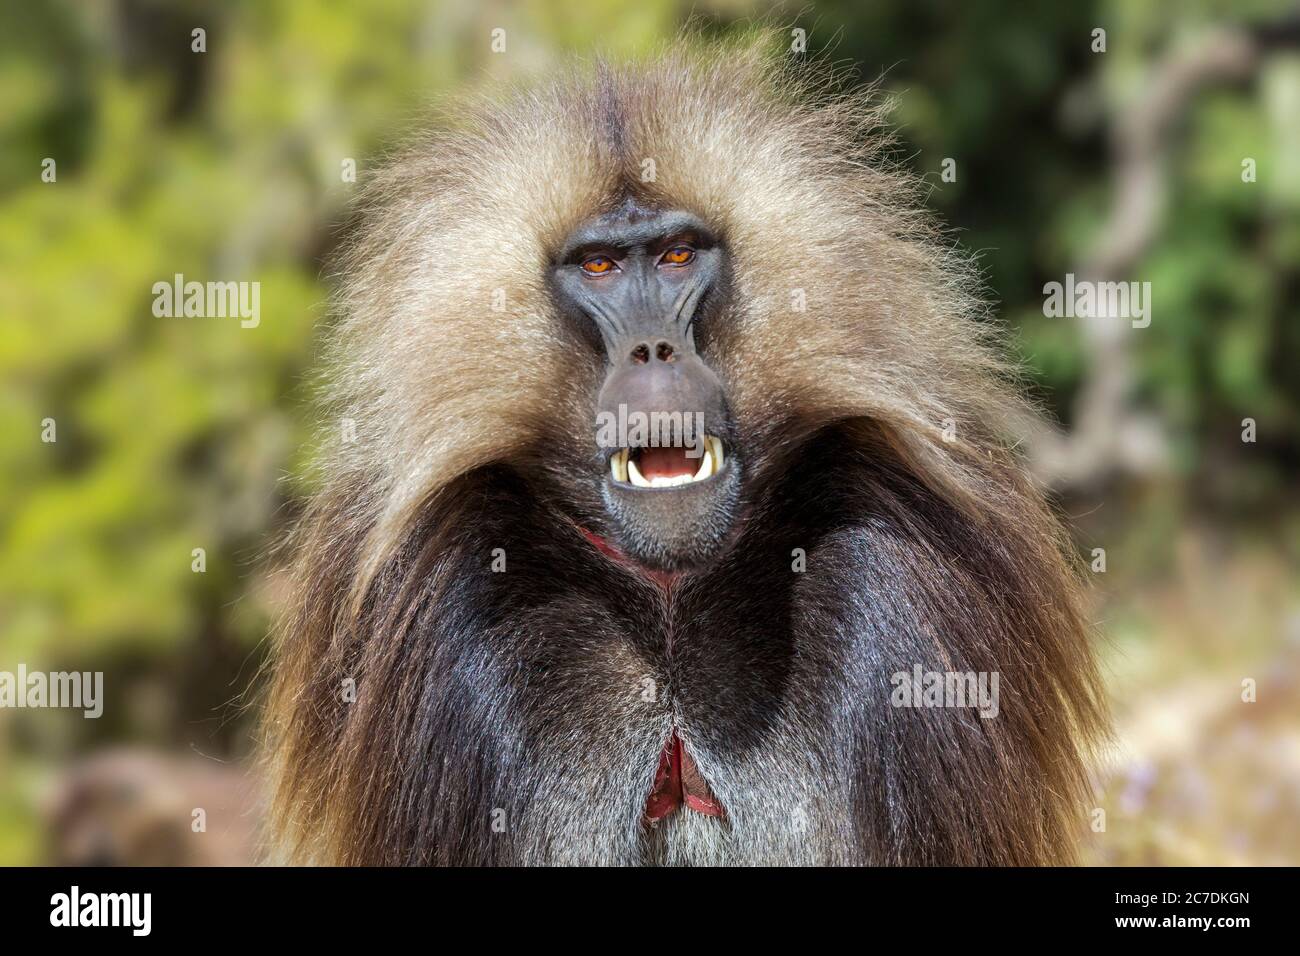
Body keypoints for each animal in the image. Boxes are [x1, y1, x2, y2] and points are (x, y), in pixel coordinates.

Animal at [263, 41, 1108, 866]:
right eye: (599, 266)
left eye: (676, 255)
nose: (653, 351)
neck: (668, 599)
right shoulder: (438, 606)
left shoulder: (909, 573)